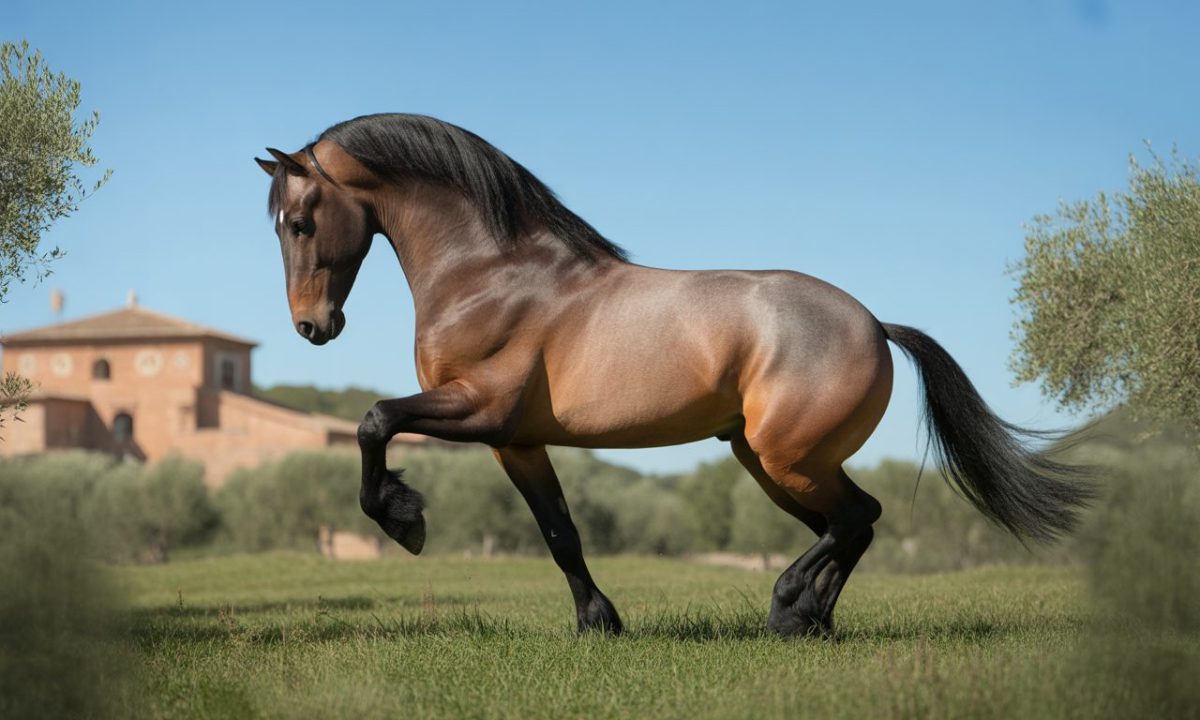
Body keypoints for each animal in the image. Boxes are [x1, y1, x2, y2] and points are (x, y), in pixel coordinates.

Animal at [255, 113, 1091, 637]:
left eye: (298, 221)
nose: (311, 327)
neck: (493, 274)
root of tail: (876, 325)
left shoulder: (478, 409)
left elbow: (373, 420)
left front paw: (406, 520)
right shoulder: (516, 442)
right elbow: (560, 532)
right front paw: (599, 624)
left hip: (787, 457)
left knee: (856, 518)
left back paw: (789, 610)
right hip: (767, 461)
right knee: (853, 526)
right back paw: (812, 623)